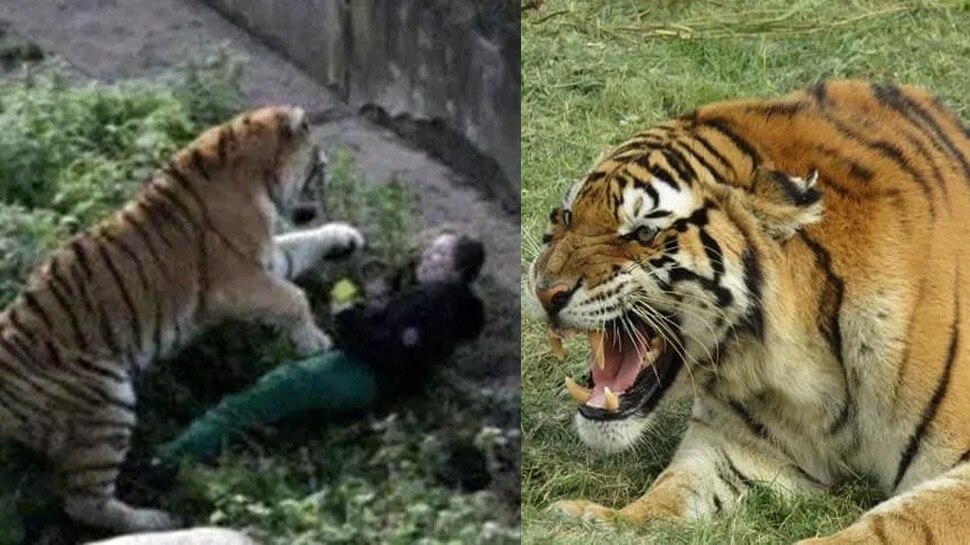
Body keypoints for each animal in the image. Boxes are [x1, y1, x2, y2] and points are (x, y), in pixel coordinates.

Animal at [0, 106, 365, 533]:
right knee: (82, 502)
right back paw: (155, 519)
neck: (255, 170)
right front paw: (314, 342)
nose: (322, 199)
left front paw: (345, 236)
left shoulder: (265, 259)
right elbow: (293, 298)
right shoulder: (234, 284)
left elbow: (301, 246)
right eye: (319, 169)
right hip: (106, 402)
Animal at [527, 80, 970, 544]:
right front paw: (593, 520)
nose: (544, 291)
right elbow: (673, 489)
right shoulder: (740, 448)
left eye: (644, 232)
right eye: (567, 216)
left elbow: (901, 522)